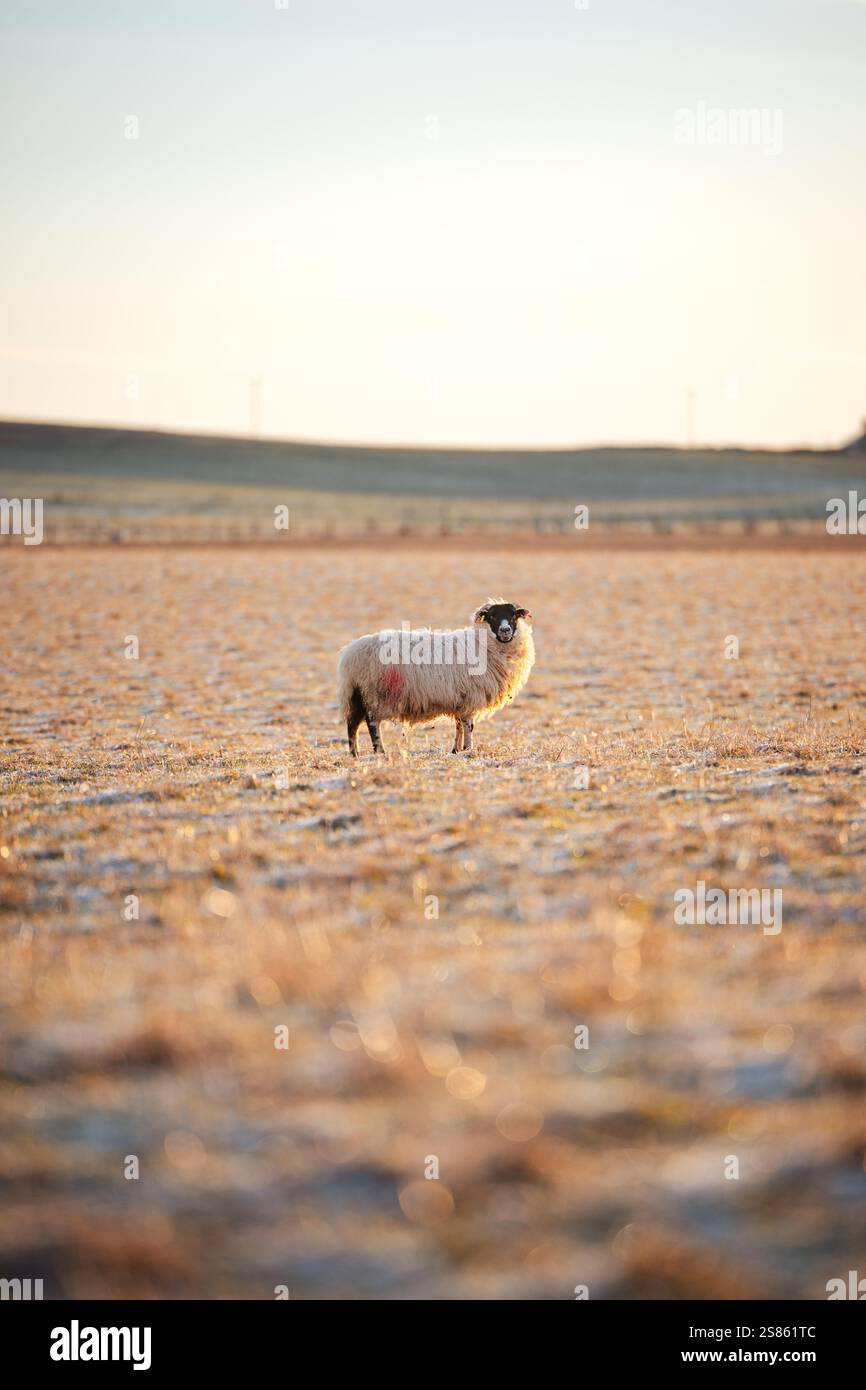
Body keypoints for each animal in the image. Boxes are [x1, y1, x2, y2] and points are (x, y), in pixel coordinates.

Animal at [337, 599, 534, 756]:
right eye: (492, 617)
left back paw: (355, 754)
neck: (483, 646)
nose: (505, 630)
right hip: (374, 693)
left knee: (352, 724)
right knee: (371, 723)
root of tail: (350, 654)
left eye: (514, 616)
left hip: (359, 694)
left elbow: (458, 725)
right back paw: (379, 751)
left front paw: (456, 750)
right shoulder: (471, 696)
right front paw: (468, 749)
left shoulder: (460, 698)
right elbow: (468, 725)